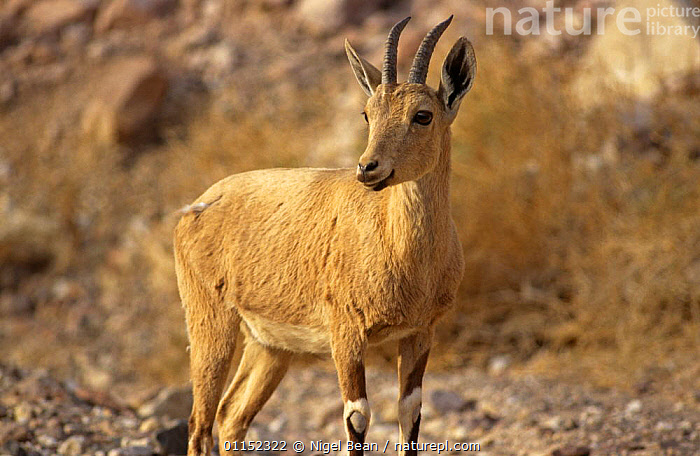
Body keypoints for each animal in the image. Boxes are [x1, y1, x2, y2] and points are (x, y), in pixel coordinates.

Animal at [174, 16, 476, 456]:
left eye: (423, 115)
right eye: (367, 113)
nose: (368, 168)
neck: (405, 255)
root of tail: (196, 207)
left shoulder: (421, 332)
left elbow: (410, 413)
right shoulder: (346, 332)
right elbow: (357, 416)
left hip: (270, 345)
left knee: (231, 415)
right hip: (210, 323)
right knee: (200, 422)